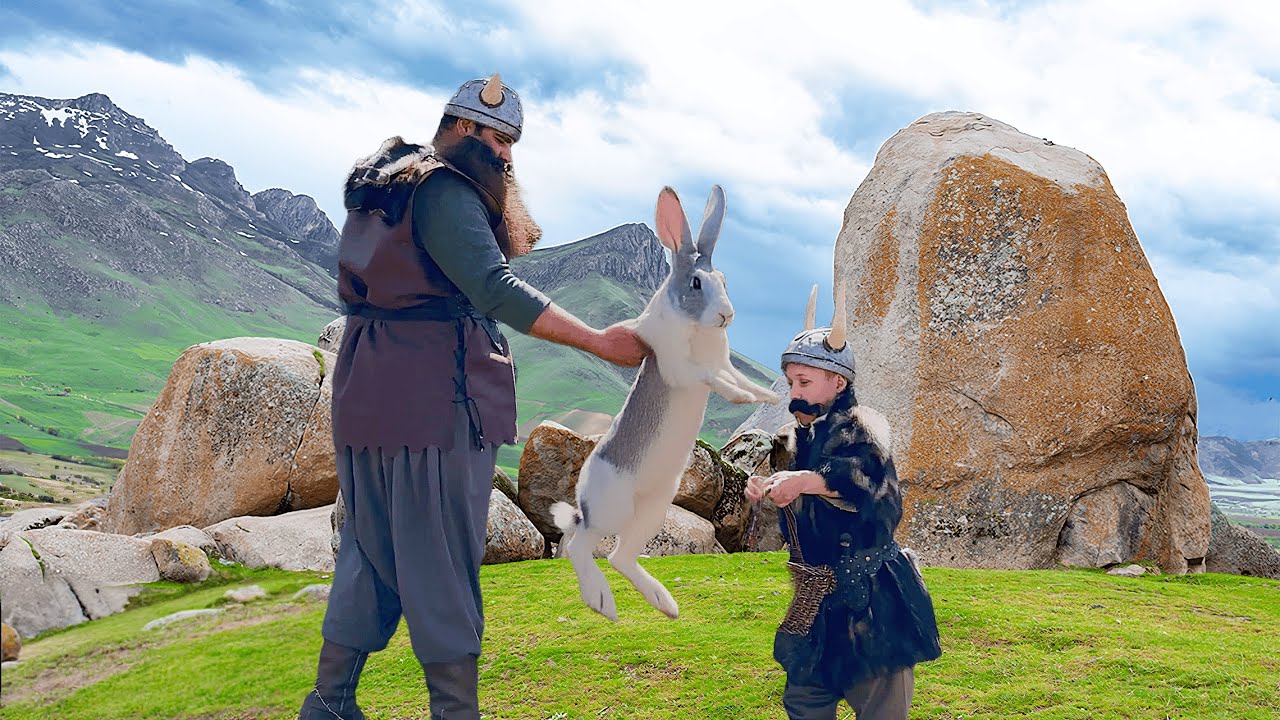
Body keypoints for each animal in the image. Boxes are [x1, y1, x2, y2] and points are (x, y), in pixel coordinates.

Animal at [551, 184, 780, 622]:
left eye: (723, 279)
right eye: (696, 283)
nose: (727, 316)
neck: (696, 327)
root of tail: (584, 500)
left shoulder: (722, 361)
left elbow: (736, 375)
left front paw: (767, 394)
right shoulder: (679, 365)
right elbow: (710, 377)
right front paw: (741, 396)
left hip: (653, 510)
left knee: (620, 556)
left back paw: (664, 604)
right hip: (612, 509)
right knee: (580, 544)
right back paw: (601, 601)